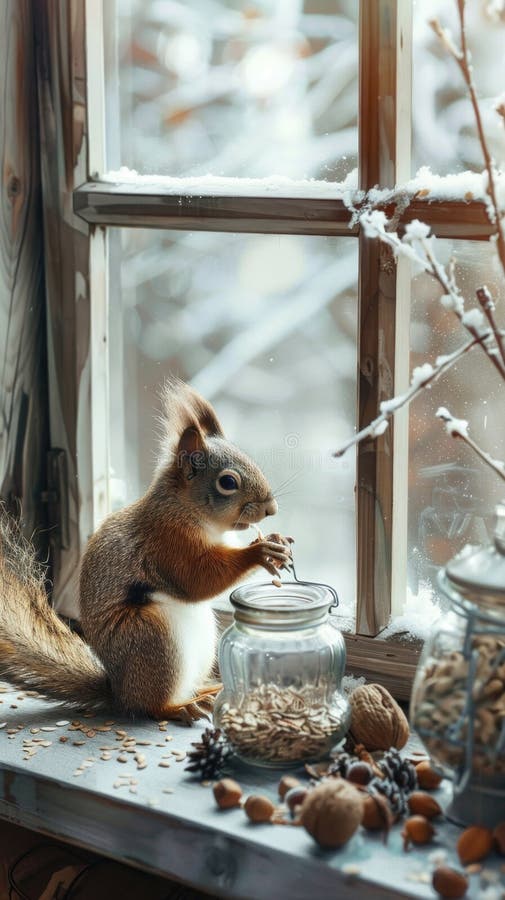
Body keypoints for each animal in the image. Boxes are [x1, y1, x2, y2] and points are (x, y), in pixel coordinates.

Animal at [0, 378, 291, 722]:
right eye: (228, 482)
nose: (271, 509)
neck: (186, 510)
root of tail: (119, 693)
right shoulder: (166, 543)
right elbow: (197, 579)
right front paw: (259, 552)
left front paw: (277, 540)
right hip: (152, 637)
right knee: (152, 705)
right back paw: (180, 706)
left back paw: (207, 691)